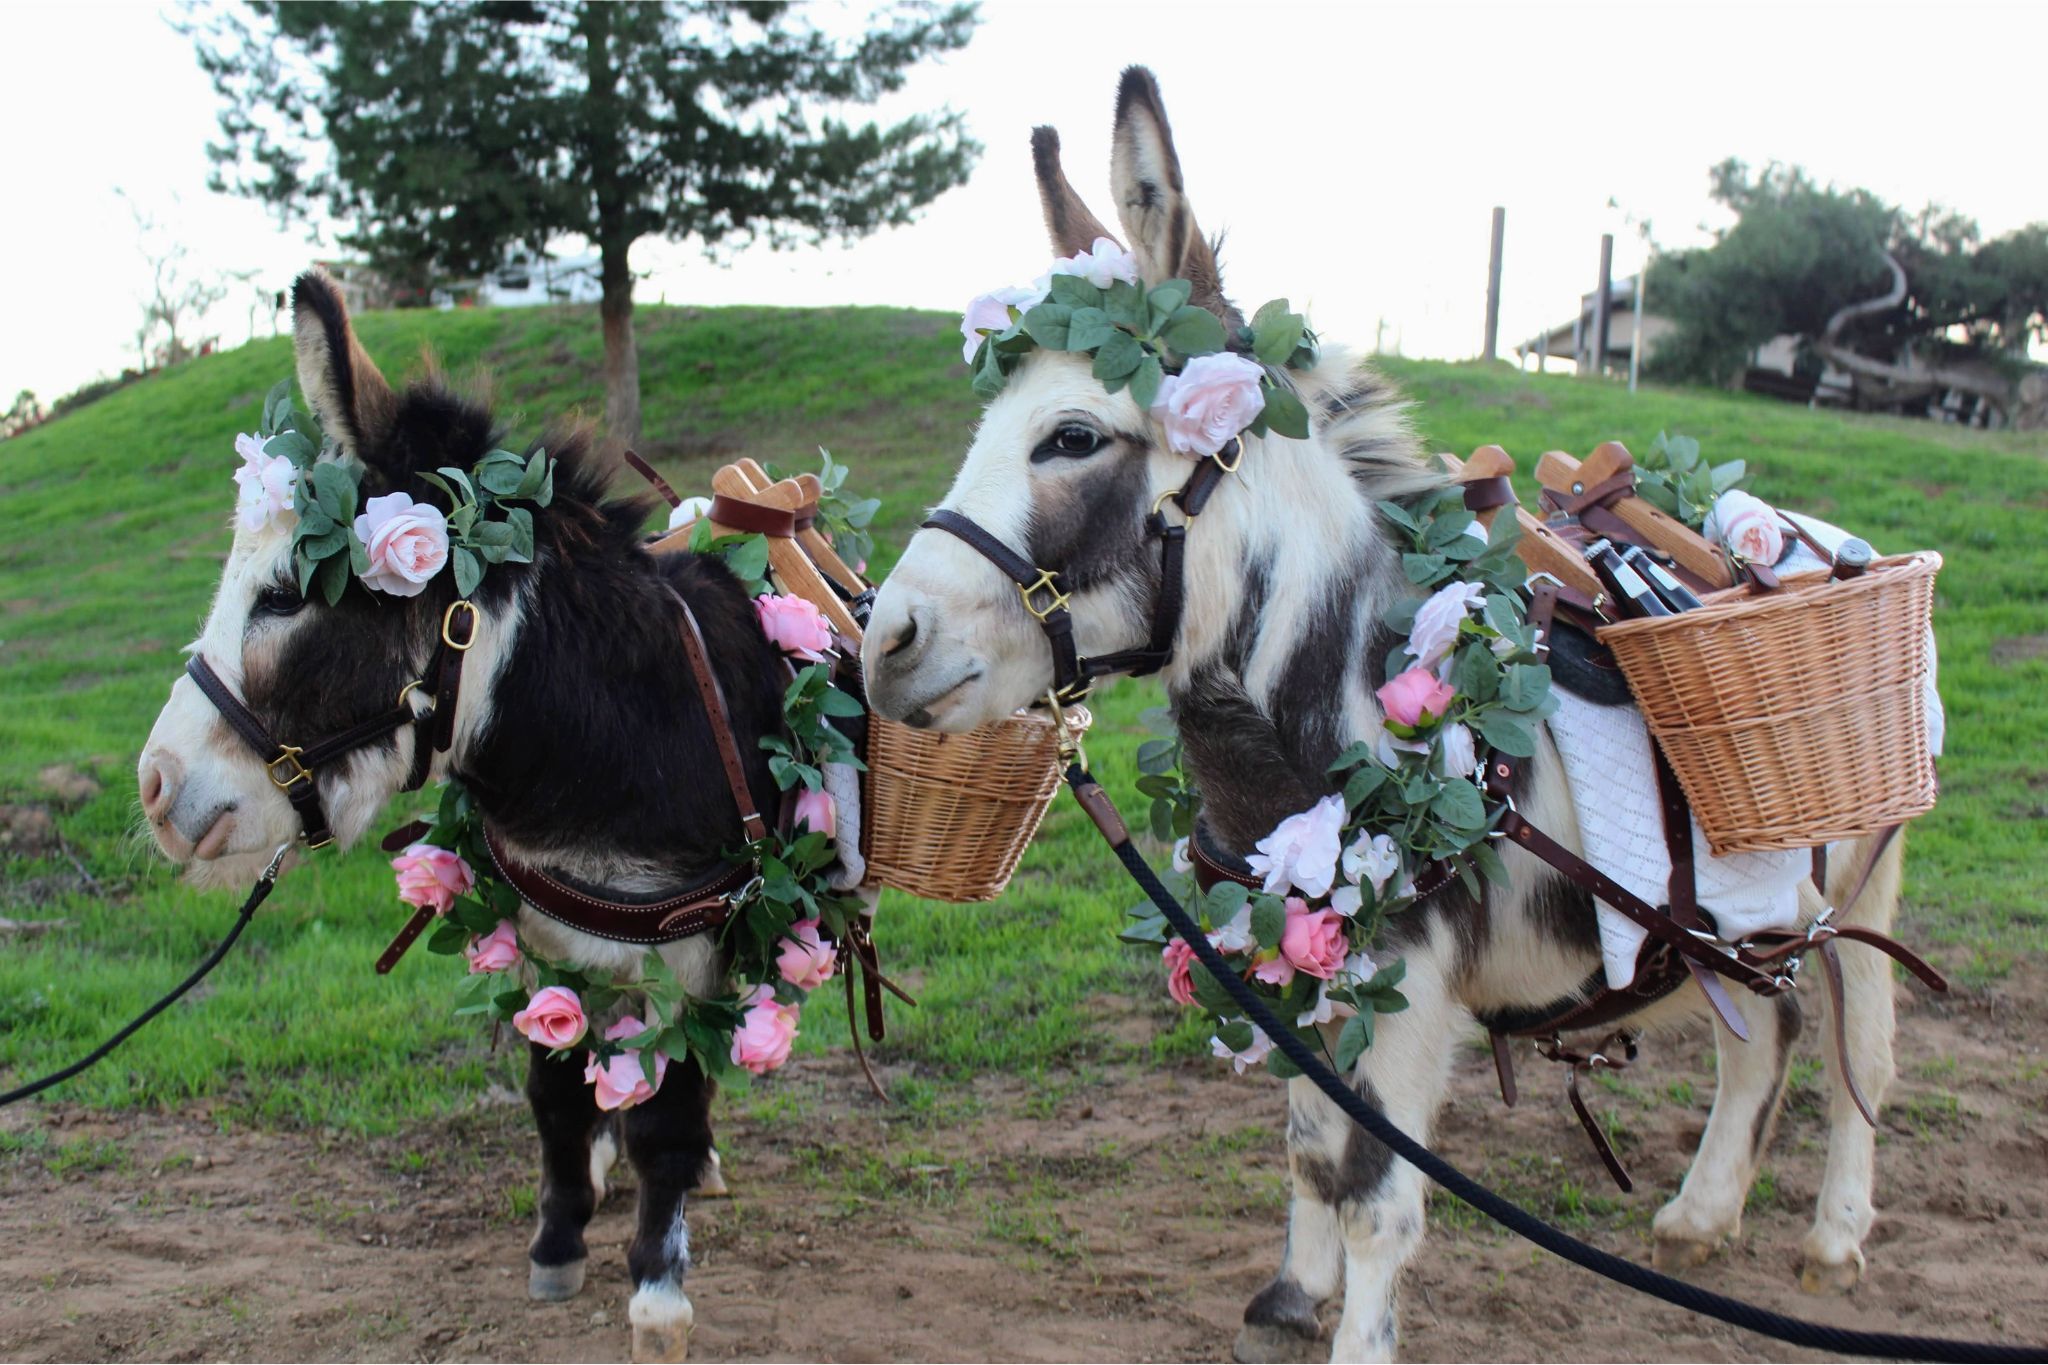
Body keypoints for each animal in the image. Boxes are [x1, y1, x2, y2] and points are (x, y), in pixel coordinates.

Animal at [136, 271, 785, 1363]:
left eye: (283, 596)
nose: (152, 787)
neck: (610, 738)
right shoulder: (538, 933)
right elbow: (555, 1092)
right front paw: (560, 1239)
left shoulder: (693, 948)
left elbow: (665, 1112)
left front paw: (657, 1294)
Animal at [862, 67, 1905, 1363]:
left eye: (1072, 438)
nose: (883, 645)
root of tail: (1816, 541)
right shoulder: (1288, 942)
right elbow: (1312, 1151)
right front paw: (1288, 1299)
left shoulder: (1408, 985)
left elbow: (1377, 1200)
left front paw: (1353, 1332)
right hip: (1736, 918)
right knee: (1762, 1030)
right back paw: (1698, 1220)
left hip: (1863, 878)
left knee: (1862, 1047)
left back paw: (1835, 1241)